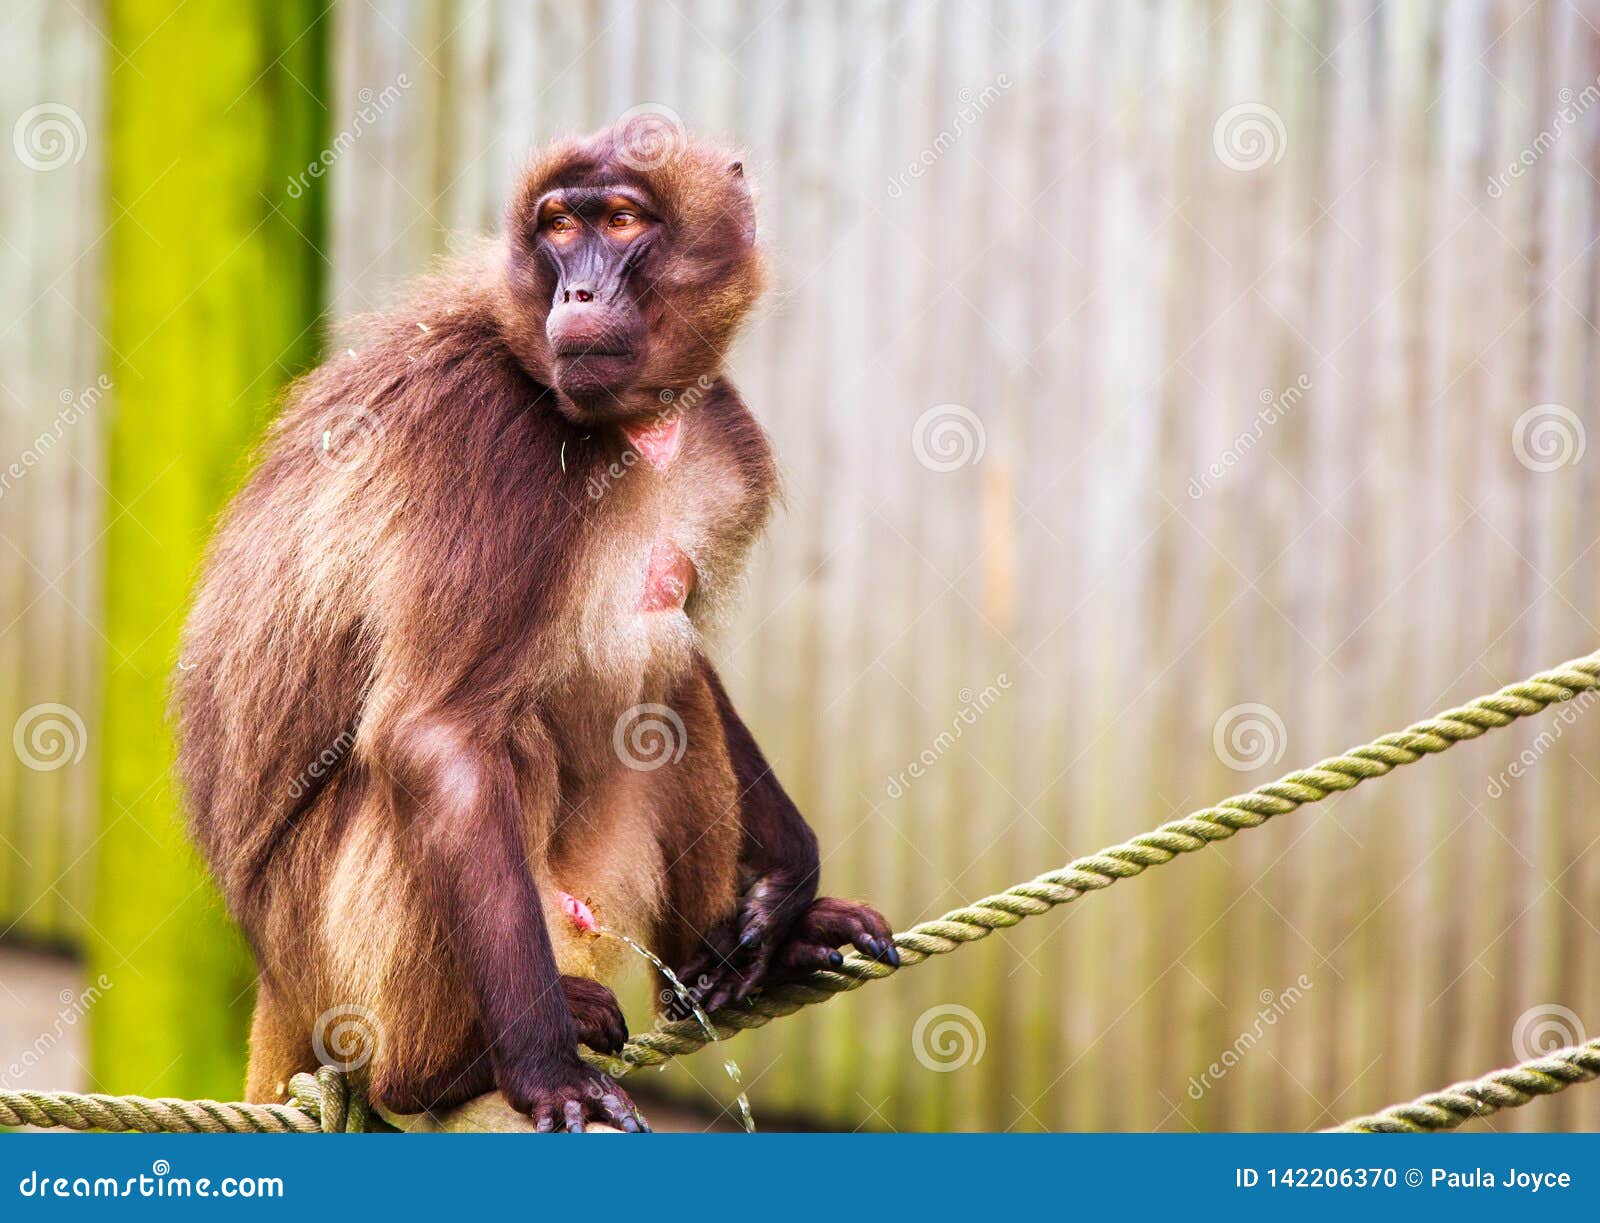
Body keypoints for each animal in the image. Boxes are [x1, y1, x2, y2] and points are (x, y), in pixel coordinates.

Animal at [173, 123, 898, 1133]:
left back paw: (721, 966)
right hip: (348, 949)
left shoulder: (722, 433)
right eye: (559, 226)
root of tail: (274, 973)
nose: (578, 293)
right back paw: (443, 1070)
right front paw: (543, 1069)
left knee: (665, 690)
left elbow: (686, 648)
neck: (627, 430)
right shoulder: (487, 444)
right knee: (477, 752)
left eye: (621, 219)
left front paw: (787, 886)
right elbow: (434, 738)